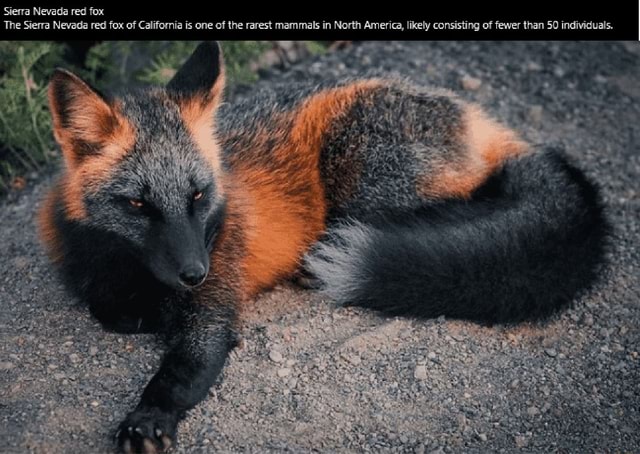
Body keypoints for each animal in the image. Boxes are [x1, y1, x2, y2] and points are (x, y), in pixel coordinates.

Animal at [39, 41, 607, 453]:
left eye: (197, 195)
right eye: (138, 205)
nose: (195, 272)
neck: (133, 272)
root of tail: (477, 117)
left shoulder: (215, 305)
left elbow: (181, 370)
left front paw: (149, 416)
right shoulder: (93, 273)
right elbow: (107, 308)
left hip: (362, 179)